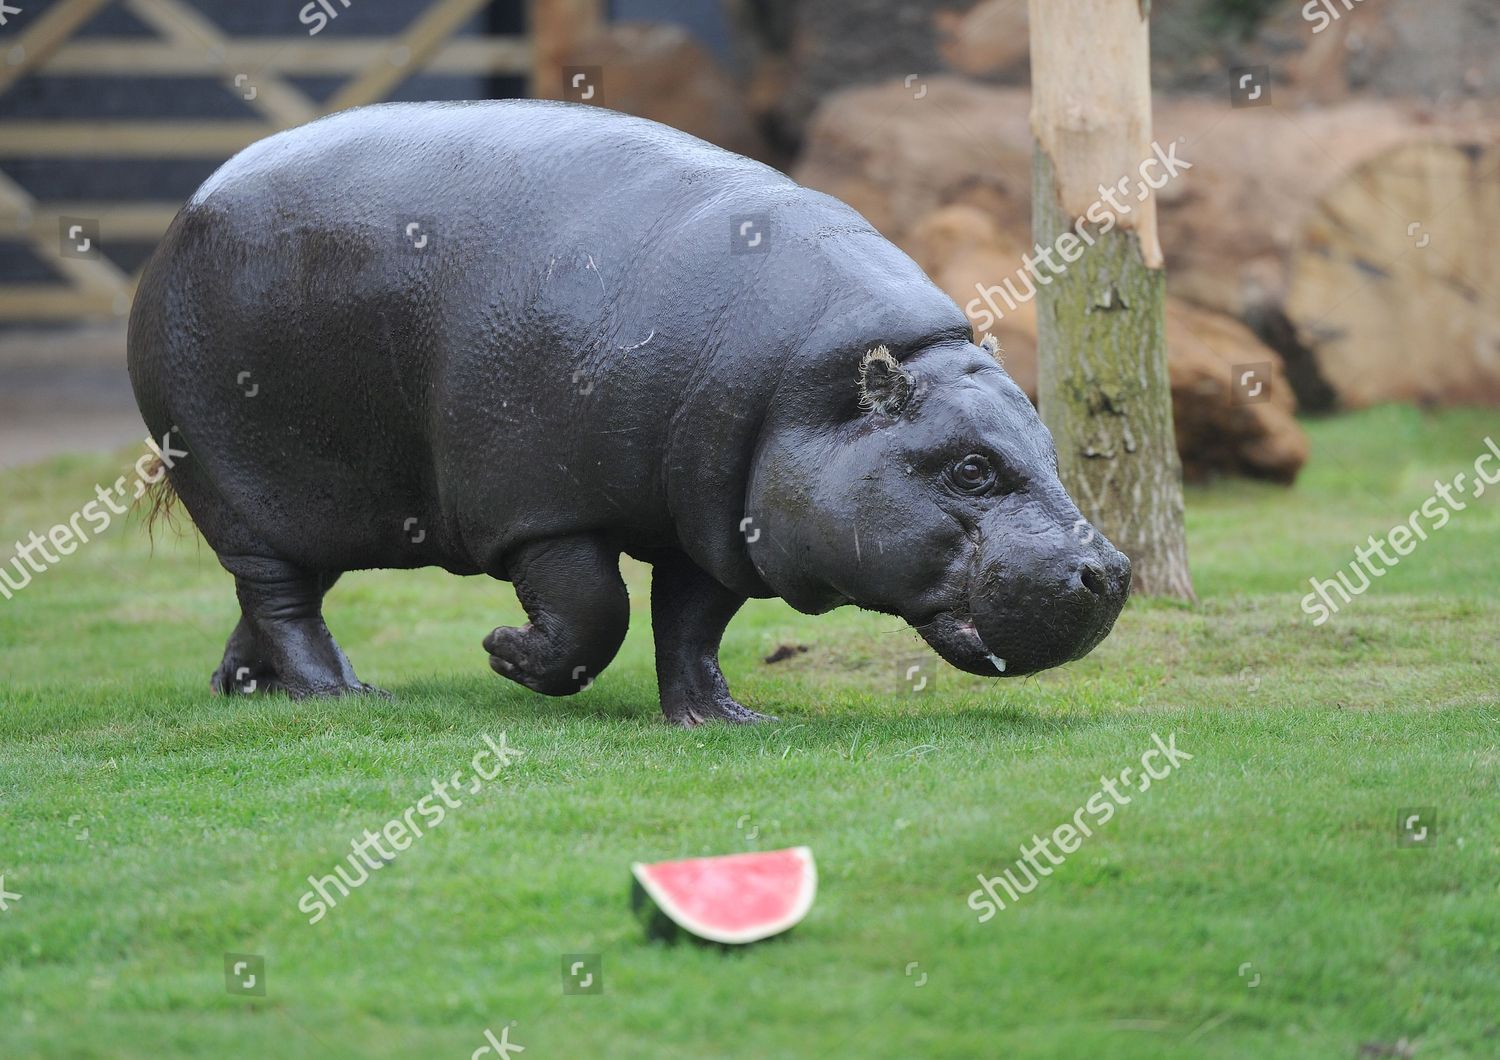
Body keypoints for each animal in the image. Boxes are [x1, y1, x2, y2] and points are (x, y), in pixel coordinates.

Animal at [127, 99, 1130, 726]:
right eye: (970, 467)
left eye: (1048, 442)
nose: (1112, 573)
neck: (808, 386)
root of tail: (185, 210)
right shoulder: (542, 509)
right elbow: (595, 611)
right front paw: (504, 652)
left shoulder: (721, 520)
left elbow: (692, 625)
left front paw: (726, 718)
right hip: (241, 488)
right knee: (284, 598)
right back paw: (341, 696)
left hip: (320, 502)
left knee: (274, 595)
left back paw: (242, 689)